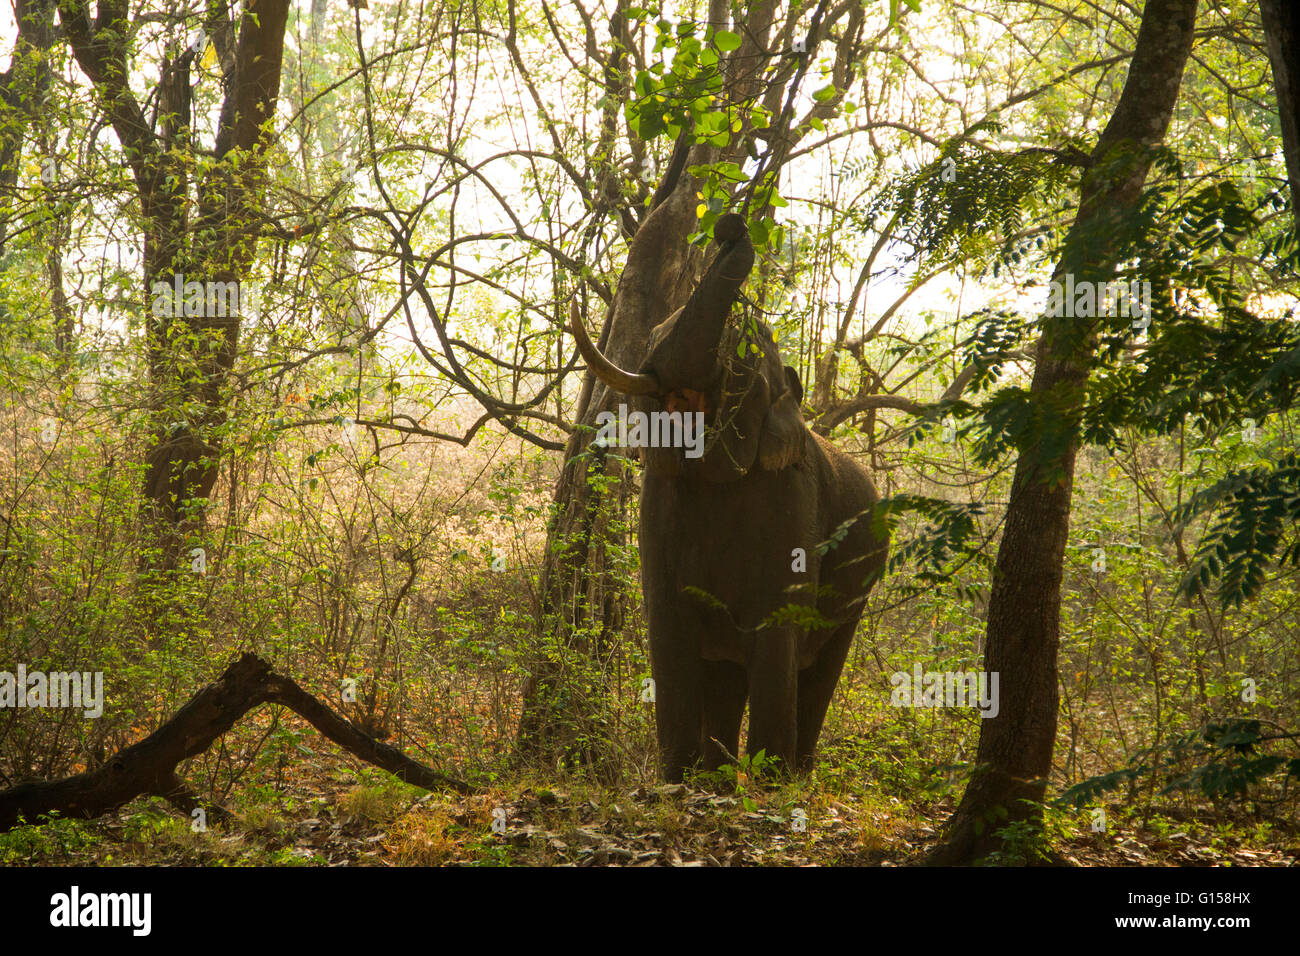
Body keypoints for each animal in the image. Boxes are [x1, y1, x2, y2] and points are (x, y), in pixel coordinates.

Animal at [570, 213, 889, 782]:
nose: (729, 225)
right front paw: (676, 781)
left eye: (749, 354)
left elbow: (777, 634)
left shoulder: (793, 510)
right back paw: (717, 781)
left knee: (820, 669)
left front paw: (770, 784)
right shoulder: (659, 509)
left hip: (860, 589)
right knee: (728, 676)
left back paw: (794, 776)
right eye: (657, 332)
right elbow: (669, 631)